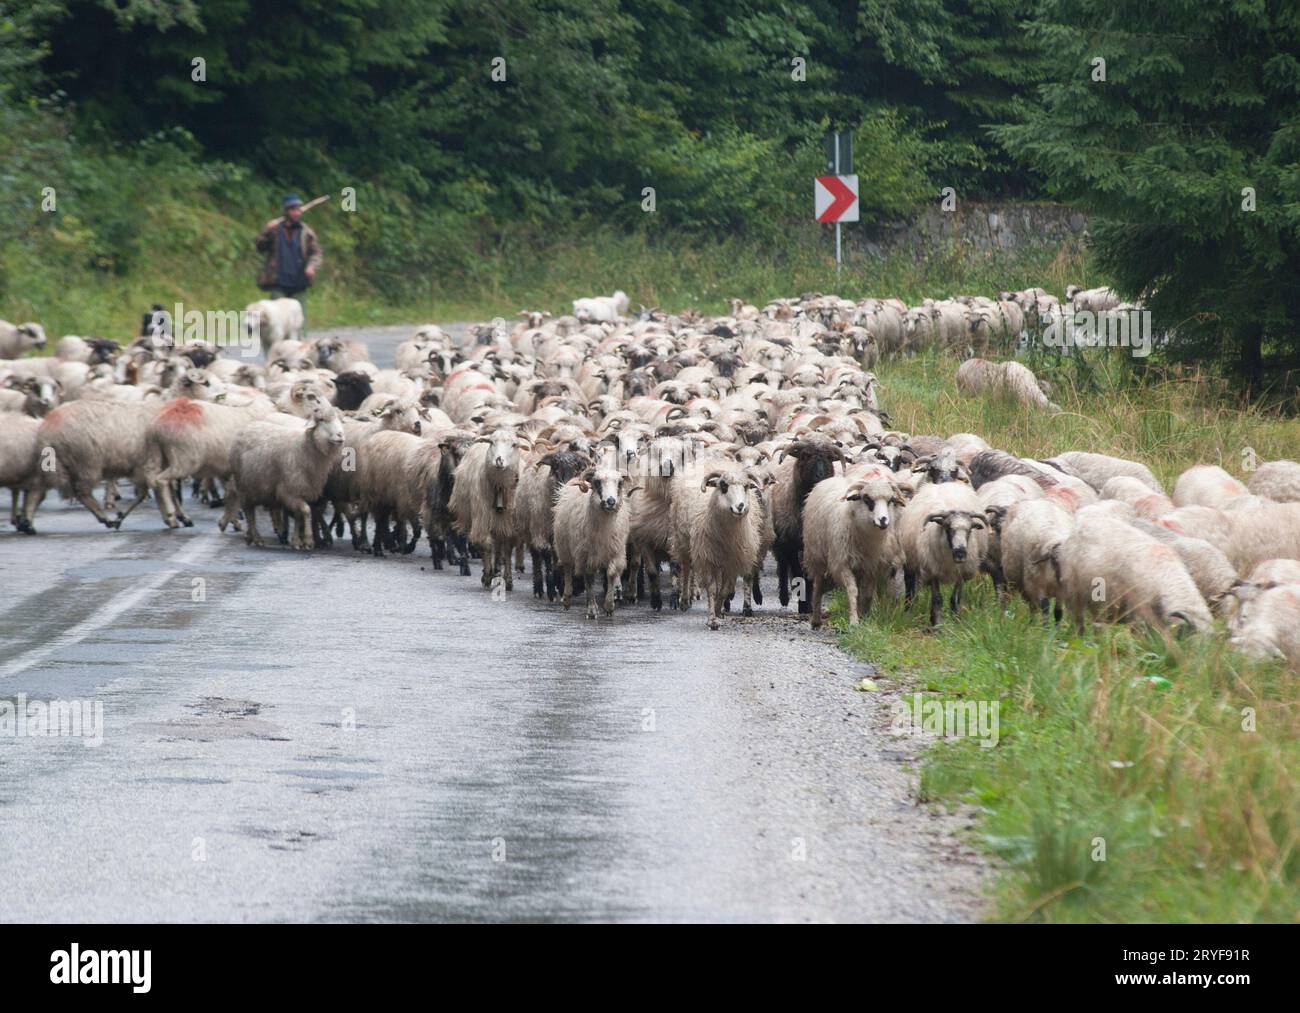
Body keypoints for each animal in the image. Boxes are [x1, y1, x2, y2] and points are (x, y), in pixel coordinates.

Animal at [227, 402, 346, 549]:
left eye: (340, 420)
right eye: (322, 420)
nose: (340, 435)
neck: (304, 448)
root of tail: (246, 427)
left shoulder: (302, 491)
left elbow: (299, 515)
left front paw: (296, 541)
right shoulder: (290, 491)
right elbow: (306, 511)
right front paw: (308, 540)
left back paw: (250, 537)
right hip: (244, 486)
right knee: (249, 512)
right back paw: (256, 538)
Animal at [553, 466, 634, 618]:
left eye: (620, 483)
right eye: (597, 482)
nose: (611, 501)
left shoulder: (616, 551)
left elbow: (612, 574)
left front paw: (609, 606)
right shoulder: (585, 555)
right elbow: (589, 579)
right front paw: (592, 610)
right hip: (564, 546)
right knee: (567, 570)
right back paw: (567, 600)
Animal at [670, 462, 765, 629]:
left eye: (746, 486)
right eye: (724, 485)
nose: (740, 506)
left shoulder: (733, 561)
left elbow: (725, 590)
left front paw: (718, 610)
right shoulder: (708, 558)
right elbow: (712, 588)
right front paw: (712, 620)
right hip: (683, 540)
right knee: (686, 568)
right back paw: (685, 601)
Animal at [802, 471, 905, 628]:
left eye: (890, 500)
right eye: (867, 499)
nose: (883, 521)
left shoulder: (872, 566)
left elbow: (868, 593)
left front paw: (865, 617)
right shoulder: (842, 563)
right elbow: (852, 590)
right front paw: (854, 622)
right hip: (817, 556)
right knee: (818, 585)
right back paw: (816, 619)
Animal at [899, 481, 989, 625]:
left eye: (970, 530)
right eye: (948, 528)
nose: (960, 553)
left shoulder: (961, 572)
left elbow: (955, 598)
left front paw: (956, 619)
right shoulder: (932, 571)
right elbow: (937, 599)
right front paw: (937, 623)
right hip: (911, 563)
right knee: (910, 588)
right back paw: (909, 610)